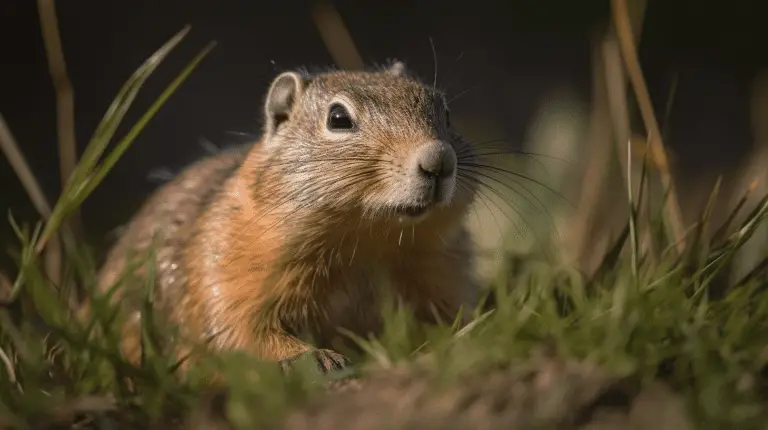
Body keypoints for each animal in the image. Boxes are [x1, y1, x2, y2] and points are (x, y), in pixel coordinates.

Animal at [92, 61, 481, 373]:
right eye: (338, 118)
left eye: (445, 110)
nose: (438, 159)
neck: (369, 241)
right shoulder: (227, 265)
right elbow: (242, 329)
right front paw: (318, 357)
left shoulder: (443, 271)